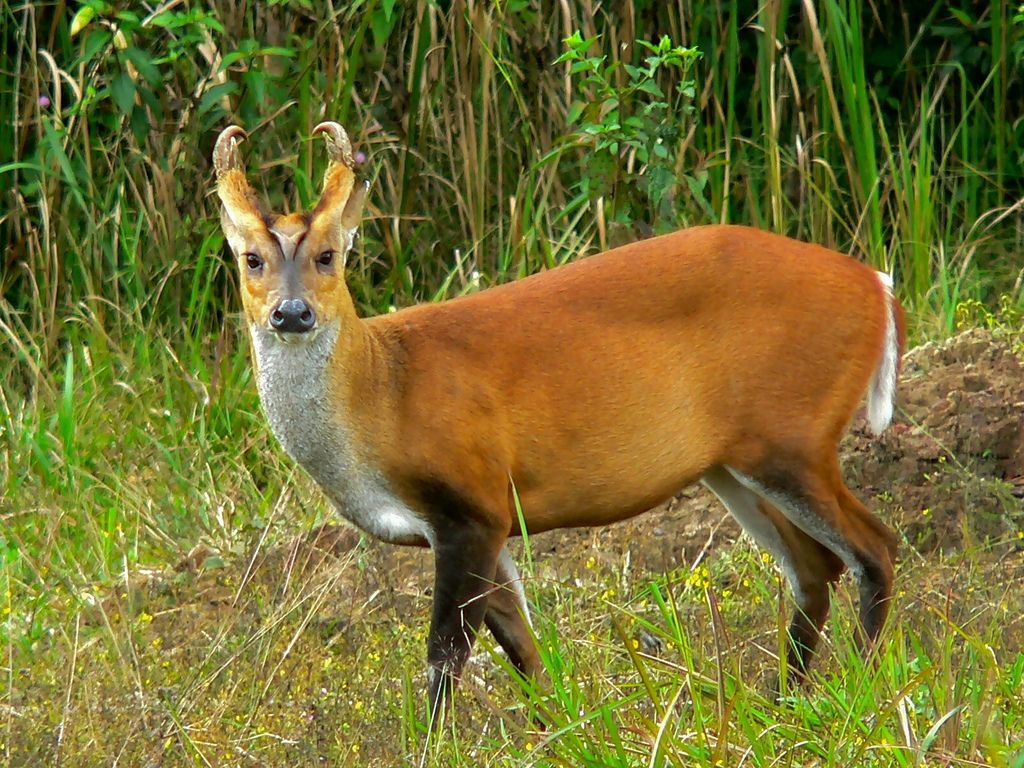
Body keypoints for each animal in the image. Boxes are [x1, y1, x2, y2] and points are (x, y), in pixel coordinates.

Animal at [213, 121, 903, 726]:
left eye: (328, 256)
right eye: (251, 260)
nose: (292, 313)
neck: (382, 394)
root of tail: (877, 285)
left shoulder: (472, 503)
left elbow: (446, 655)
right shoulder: (476, 522)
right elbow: (524, 652)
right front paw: (558, 732)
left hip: (792, 434)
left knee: (874, 547)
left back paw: (861, 695)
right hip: (735, 463)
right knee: (815, 568)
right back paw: (783, 703)